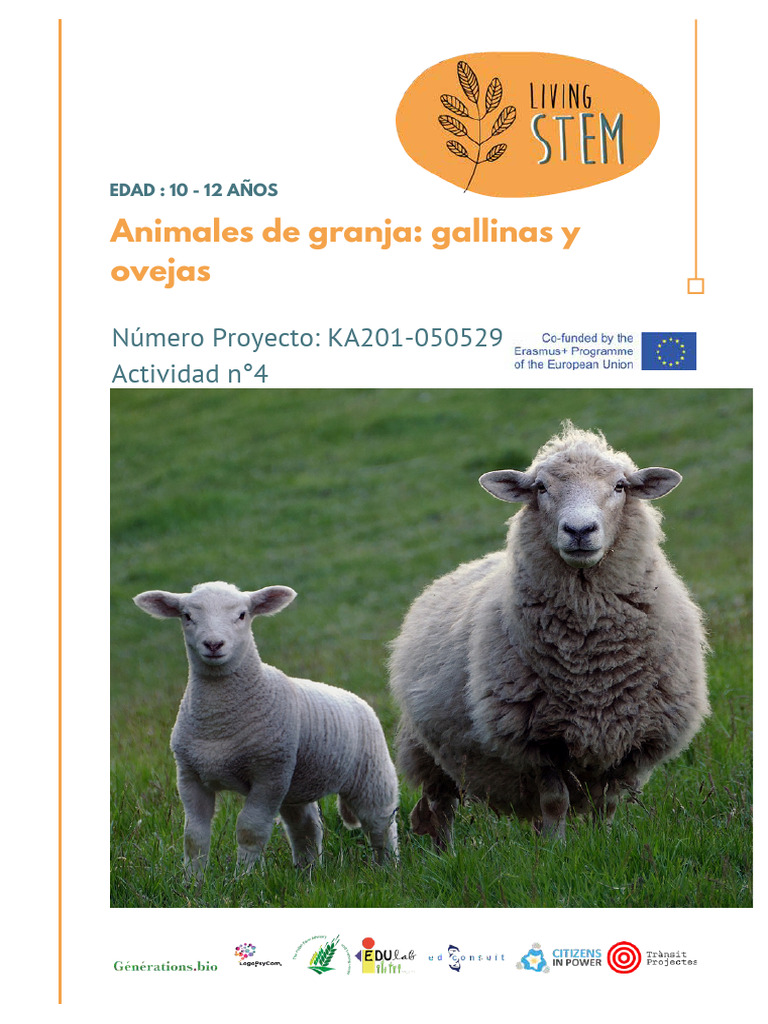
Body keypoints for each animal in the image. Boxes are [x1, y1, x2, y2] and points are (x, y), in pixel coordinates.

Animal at [133, 581, 399, 876]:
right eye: (187, 616)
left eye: (242, 615)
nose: (213, 644)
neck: (217, 723)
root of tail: (356, 699)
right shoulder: (189, 776)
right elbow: (194, 836)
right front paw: (192, 882)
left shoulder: (269, 774)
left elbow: (250, 830)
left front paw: (243, 878)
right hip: (296, 785)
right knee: (306, 828)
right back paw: (307, 872)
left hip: (371, 774)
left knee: (380, 823)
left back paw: (387, 868)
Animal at [389, 423, 709, 849]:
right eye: (541, 487)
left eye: (620, 486)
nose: (579, 530)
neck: (592, 659)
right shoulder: (538, 741)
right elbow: (555, 801)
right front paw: (557, 852)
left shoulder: (630, 740)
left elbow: (607, 804)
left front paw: (602, 845)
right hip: (429, 750)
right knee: (439, 808)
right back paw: (447, 854)